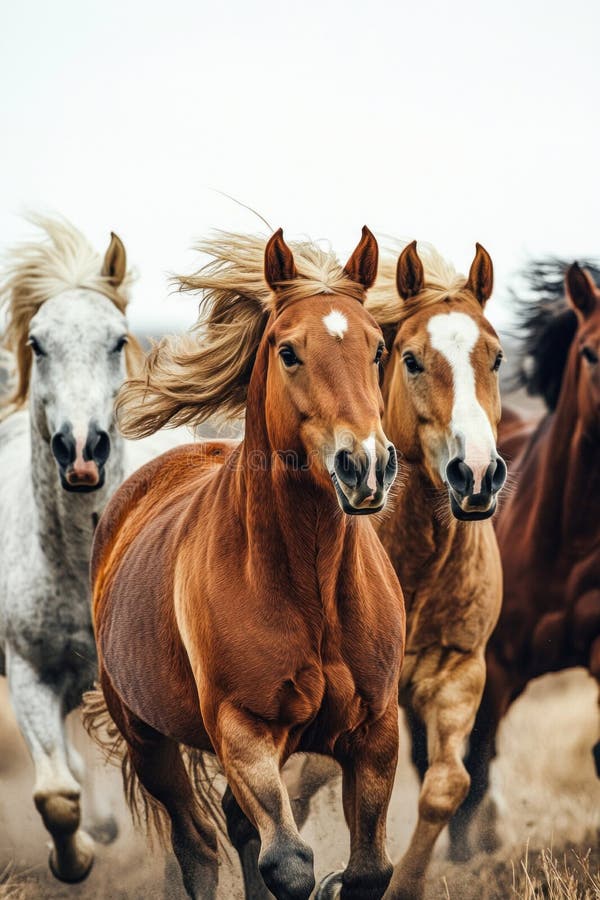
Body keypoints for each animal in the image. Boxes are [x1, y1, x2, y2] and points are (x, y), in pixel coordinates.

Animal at [84, 227, 406, 900]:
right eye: (288, 351)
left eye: (379, 348)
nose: (366, 467)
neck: (311, 588)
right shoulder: (243, 728)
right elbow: (288, 864)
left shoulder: (374, 730)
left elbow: (369, 869)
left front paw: (341, 880)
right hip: (148, 740)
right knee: (199, 845)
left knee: (237, 826)